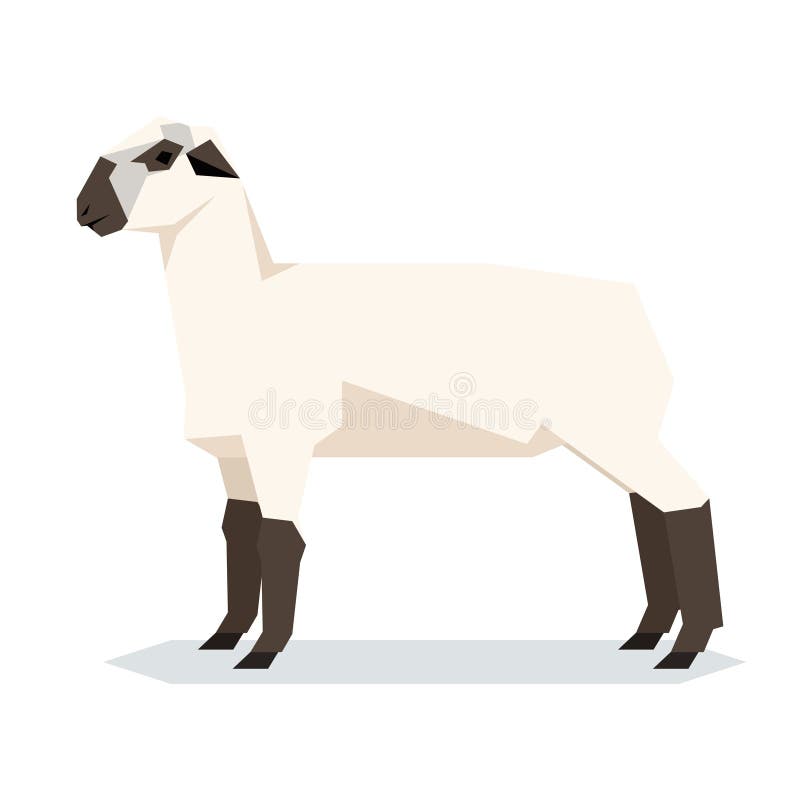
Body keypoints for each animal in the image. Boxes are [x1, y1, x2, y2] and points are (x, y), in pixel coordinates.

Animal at [76, 118, 722, 671]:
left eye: (163, 156)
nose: (84, 207)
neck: (249, 300)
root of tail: (636, 312)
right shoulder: (235, 453)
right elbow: (237, 536)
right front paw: (222, 637)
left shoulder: (282, 443)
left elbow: (278, 541)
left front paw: (262, 654)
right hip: (613, 434)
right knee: (648, 509)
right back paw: (645, 637)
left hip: (613, 429)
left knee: (684, 502)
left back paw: (684, 648)